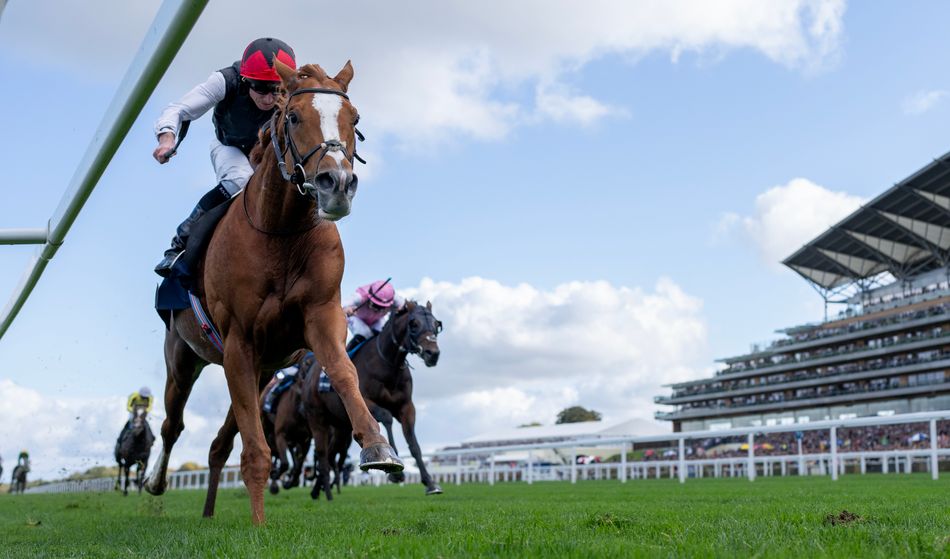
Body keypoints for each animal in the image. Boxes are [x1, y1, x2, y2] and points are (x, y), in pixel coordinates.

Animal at [143, 60, 402, 524]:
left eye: (354, 120)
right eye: (294, 116)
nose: (336, 183)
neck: (282, 232)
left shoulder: (320, 318)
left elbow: (343, 373)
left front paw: (378, 447)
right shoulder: (239, 341)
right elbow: (256, 451)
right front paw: (259, 526)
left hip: (260, 370)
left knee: (218, 444)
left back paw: (208, 512)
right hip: (184, 359)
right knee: (173, 425)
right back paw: (155, 482)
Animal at [302, 300, 443, 500]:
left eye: (436, 324)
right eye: (414, 324)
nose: (433, 354)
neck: (387, 364)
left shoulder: (407, 407)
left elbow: (414, 445)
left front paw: (430, 483)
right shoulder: (367, 402)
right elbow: (386, 417)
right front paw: (395, 471)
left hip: (340, 427)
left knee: (330, 455)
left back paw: (317, 489)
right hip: (317, 418)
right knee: (322, 453)